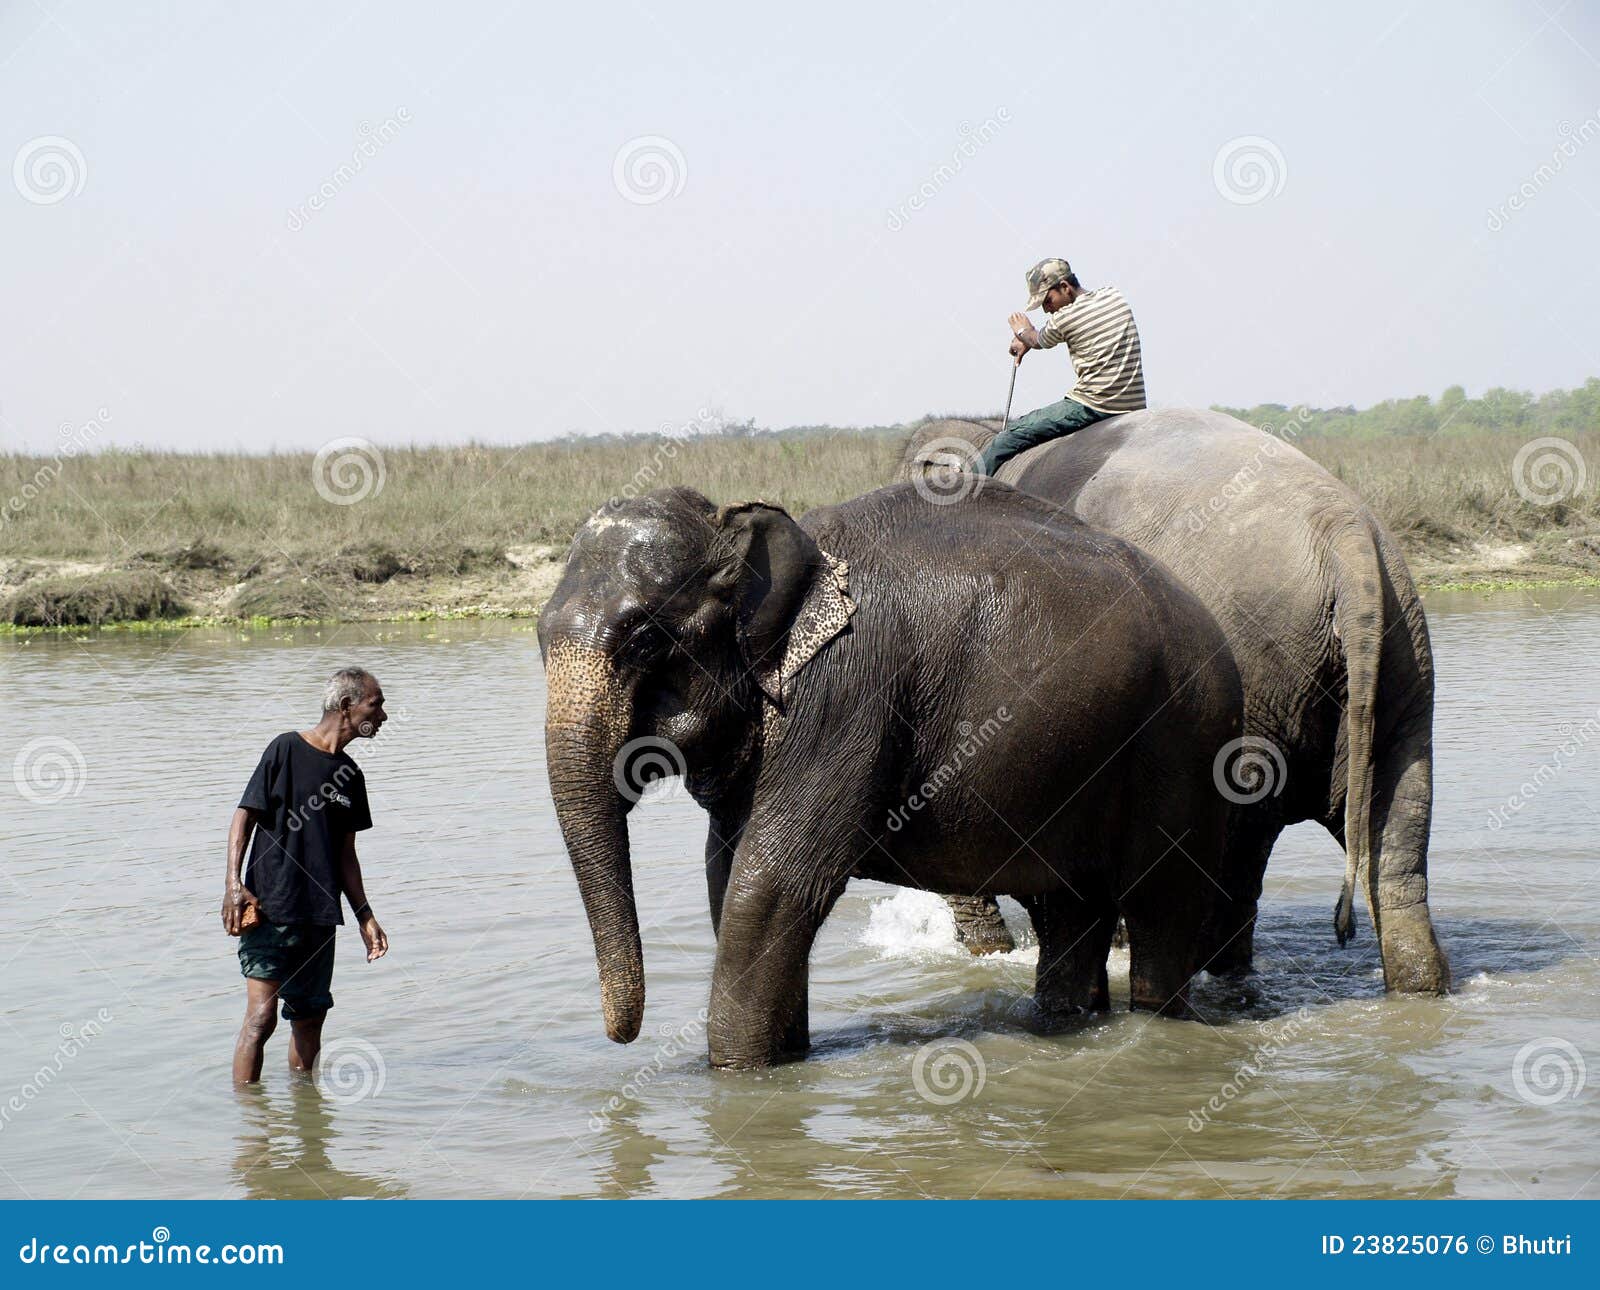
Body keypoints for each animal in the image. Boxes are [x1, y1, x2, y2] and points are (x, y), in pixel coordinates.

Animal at [538, 481, 1244, 1068]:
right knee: (1073, 909)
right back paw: (1066, 1022)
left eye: (644, 639)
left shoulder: (844, 697)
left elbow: (773, 886)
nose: (621, 1036)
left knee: (1160, 909)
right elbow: (725, 873)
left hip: (1185, 740)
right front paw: (785, 1059)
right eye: (540, 638)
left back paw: (1154, 1030)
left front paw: (737, 1080)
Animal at [897, 407, 1449, 995]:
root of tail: (1346, 540)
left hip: (1261, 668)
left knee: (1240, 840)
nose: (988, 949)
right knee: (1398, 825)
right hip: (1402, 657)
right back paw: (1417, 986)